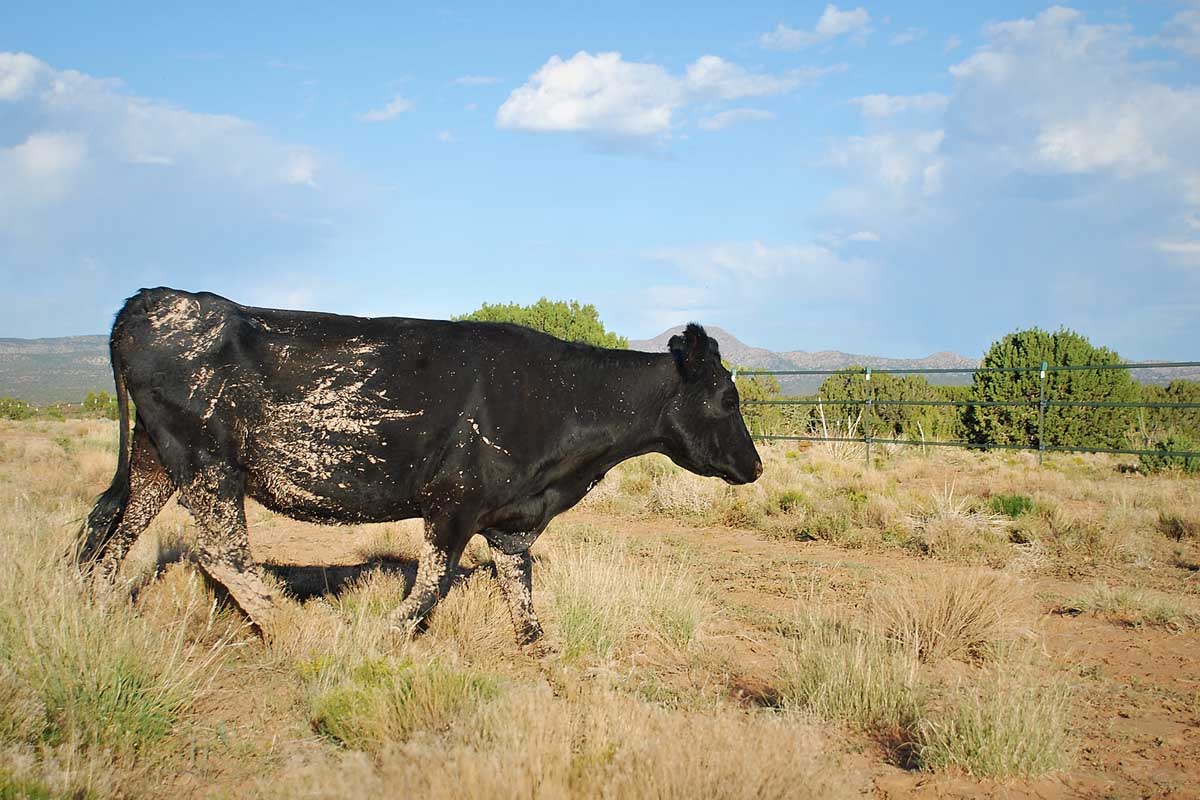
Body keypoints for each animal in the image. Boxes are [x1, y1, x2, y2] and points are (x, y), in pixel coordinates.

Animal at [78, 288, 763, 645]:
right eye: (728, 400)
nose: (755, 465)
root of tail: (155, 299)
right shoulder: (453, 504)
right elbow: (432, 584)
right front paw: (385, 635)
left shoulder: (514, 517)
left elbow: (520, 587)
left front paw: (538, 648)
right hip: (207, 462)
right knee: (221, 551)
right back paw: (295, 630)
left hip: (155, 460)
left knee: (112, 532)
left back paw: (97, 611)